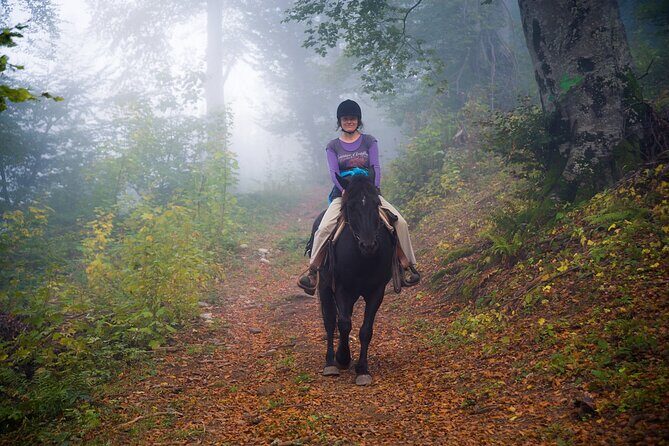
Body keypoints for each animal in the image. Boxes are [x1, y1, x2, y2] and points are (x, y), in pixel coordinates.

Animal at [306, 172, 394, 386]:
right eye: (351, 207)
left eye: (376, 203)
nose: (369, 245)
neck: (362, 258)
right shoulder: (341, 289)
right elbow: (344, 323)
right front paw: (343, 358)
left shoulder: (376, 291)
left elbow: (366, 330)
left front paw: (362, 369)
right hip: (325, 286)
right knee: (330, 321)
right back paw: (330, 362)